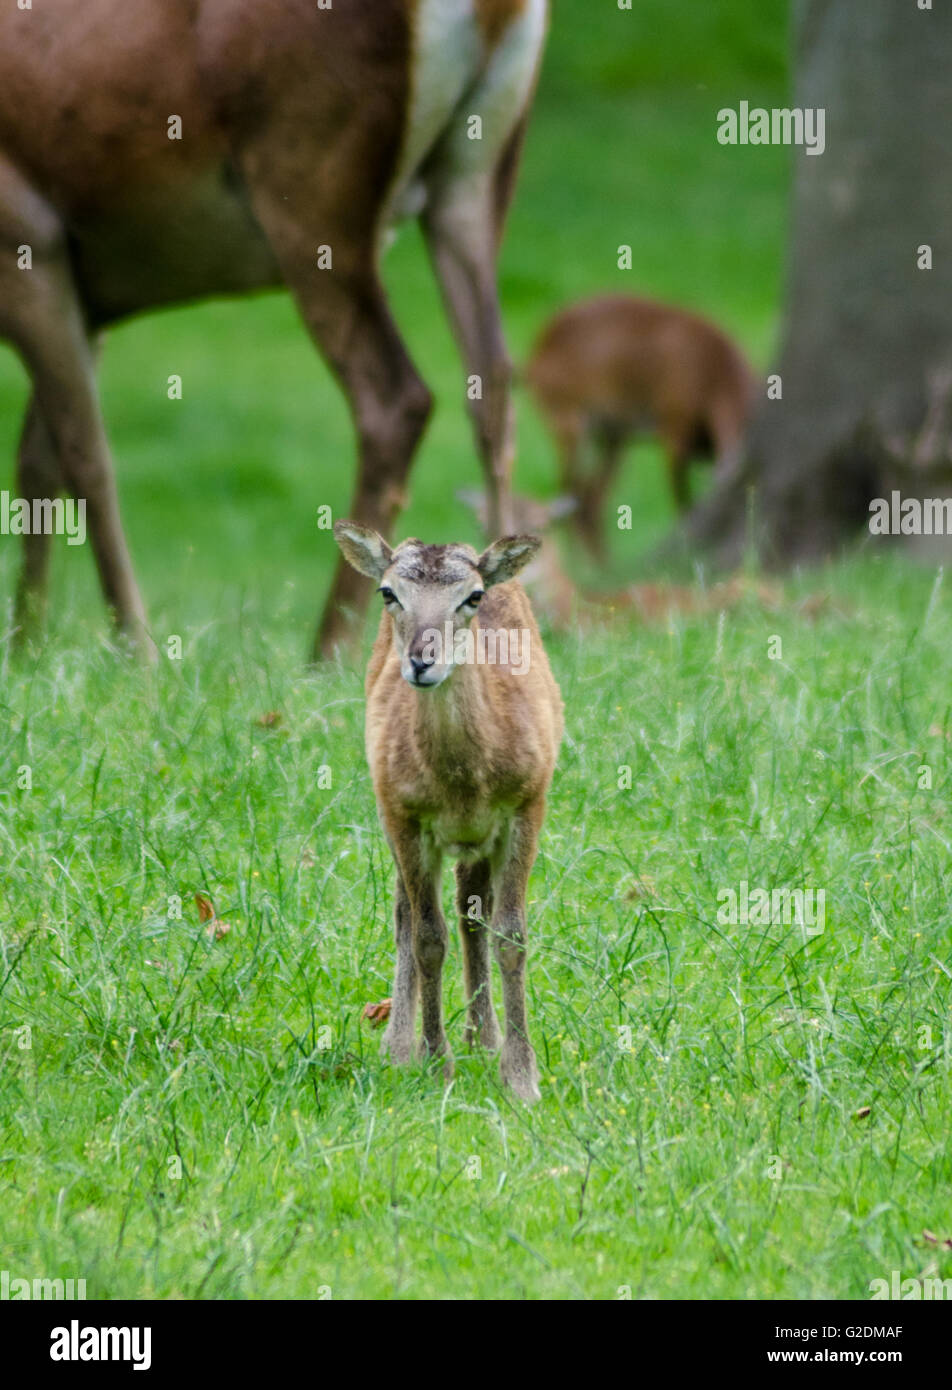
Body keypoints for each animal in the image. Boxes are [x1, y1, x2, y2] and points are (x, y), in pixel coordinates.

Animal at [0, 0, 548, 661]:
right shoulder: (89, 300)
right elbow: (39, 461)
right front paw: (27, 646)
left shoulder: (28, 239)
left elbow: (86, 459)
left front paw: (135, 651)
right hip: (474, 180)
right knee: (492, 388)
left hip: (312, 184)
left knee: (398, 396)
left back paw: (328, 651)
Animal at [334, 518, 563, 1103]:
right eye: (388, 592)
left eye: (472, 597)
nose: (421, 661)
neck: (462, 783)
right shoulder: (403, 813)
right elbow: (426, 937)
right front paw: (434, 1063)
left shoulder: (528, 801)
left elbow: (510, 935)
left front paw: (521, 1076)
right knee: (407, 914)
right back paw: (398, 1044)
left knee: (471, 908)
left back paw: (484, 1035)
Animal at [524, 294, 756, 560]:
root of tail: (536, 352)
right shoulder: (674, 434)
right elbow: (683, 504)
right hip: (571, 423)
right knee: (571, 493)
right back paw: (579, 561)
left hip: (613, 437)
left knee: (590, 499)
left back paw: (602, 564)